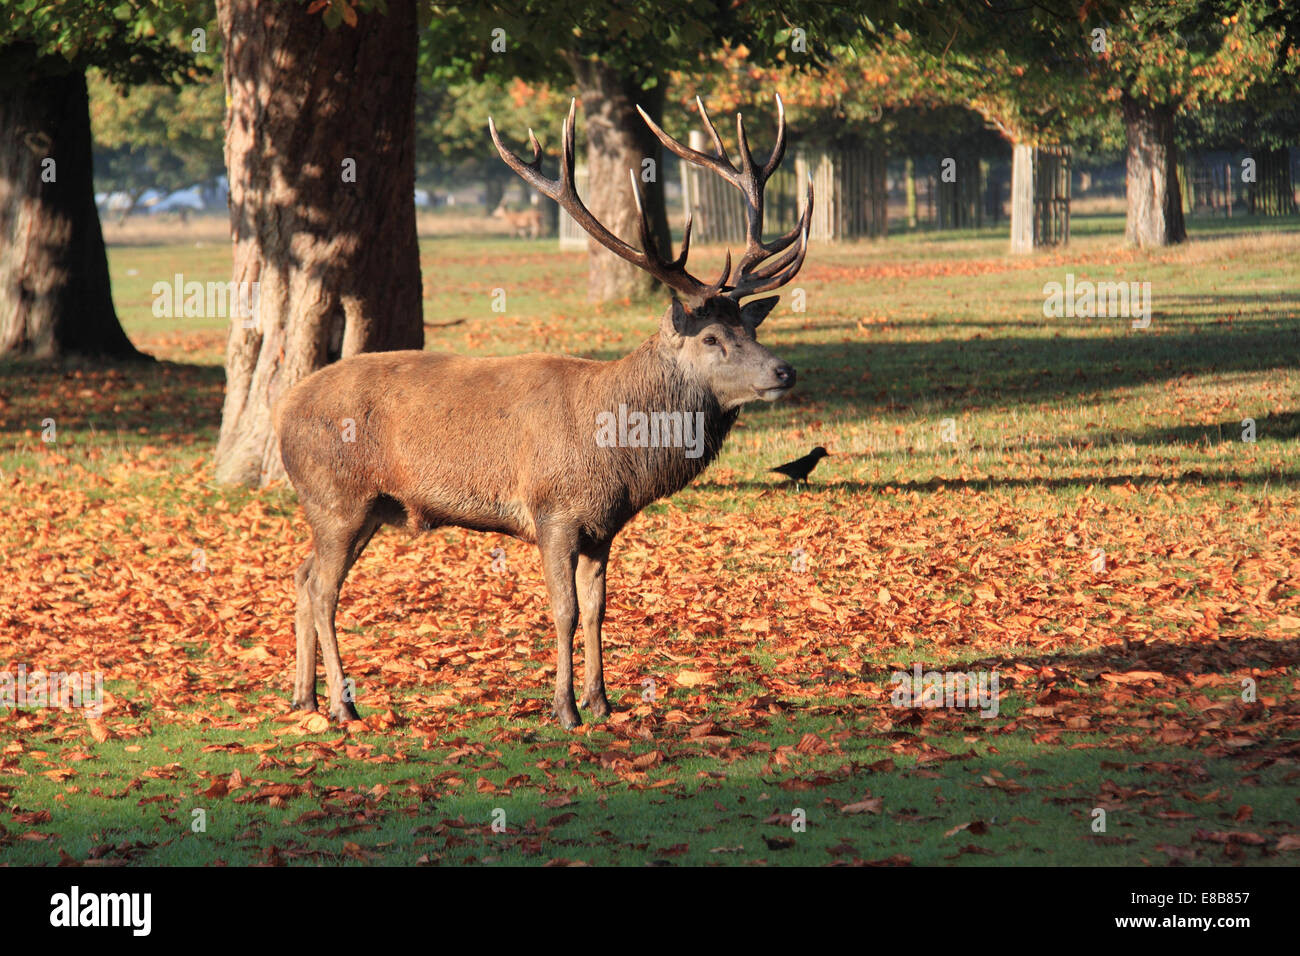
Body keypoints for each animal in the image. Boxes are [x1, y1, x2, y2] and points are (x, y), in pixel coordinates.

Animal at [272, 94, 812, 728]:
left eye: (752, 327)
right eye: (711, 339)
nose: (784, 372)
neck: (620, 453)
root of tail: (283, 409)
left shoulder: (604, 525)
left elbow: (600, 608)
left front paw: (602, 702)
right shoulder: (553, 510)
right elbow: (565, 609)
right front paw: (564, 709)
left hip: (366, 508)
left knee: (301, 574)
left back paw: (304, 697)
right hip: (337, 497)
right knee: (321, 589)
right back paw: (342, 704)